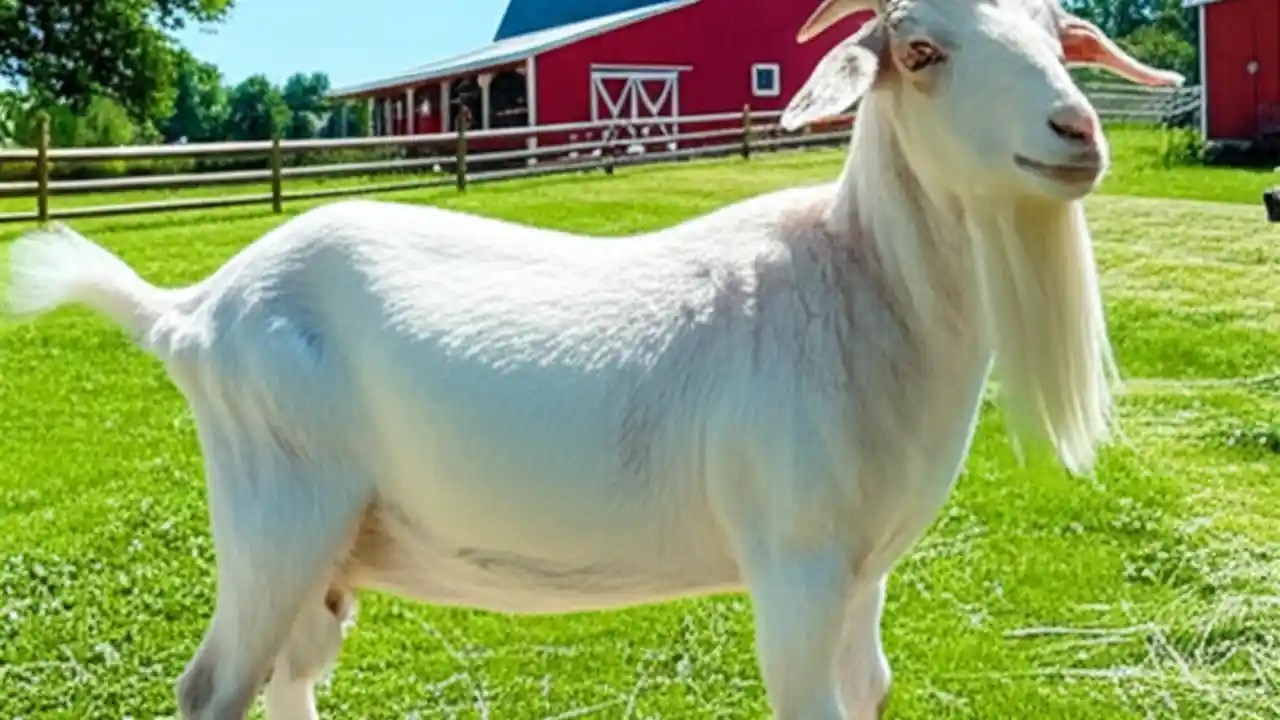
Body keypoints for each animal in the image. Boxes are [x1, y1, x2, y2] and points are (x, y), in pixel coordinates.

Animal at [4, 1, 1182, 718]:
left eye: (1059, 35)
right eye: (923, 53)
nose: (1075, 130)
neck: (856, 284)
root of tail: (190, 312)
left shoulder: (865, 570)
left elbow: (871, 691)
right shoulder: (796, 561)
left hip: (319, 548)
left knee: (286, 683)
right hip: (272, 510)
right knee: (212, 687)